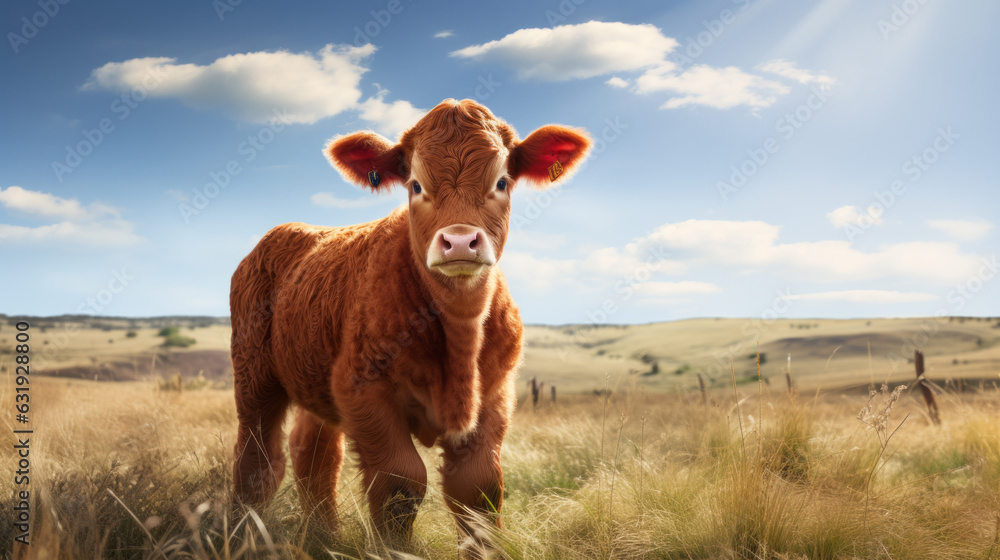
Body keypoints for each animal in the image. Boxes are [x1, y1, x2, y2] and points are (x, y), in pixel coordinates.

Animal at [229, 98, 591, 554]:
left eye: (502, 181)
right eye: (416, 185)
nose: (459, 241)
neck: (459, 334)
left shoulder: (496, 394)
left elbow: (479, 488)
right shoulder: (362, 388)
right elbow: (400, 483)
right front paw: (393, 550)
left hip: (315, 380)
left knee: (313, 453)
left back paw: (325, 536)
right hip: (254, 376)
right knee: (257, 461)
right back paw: (241, 534)